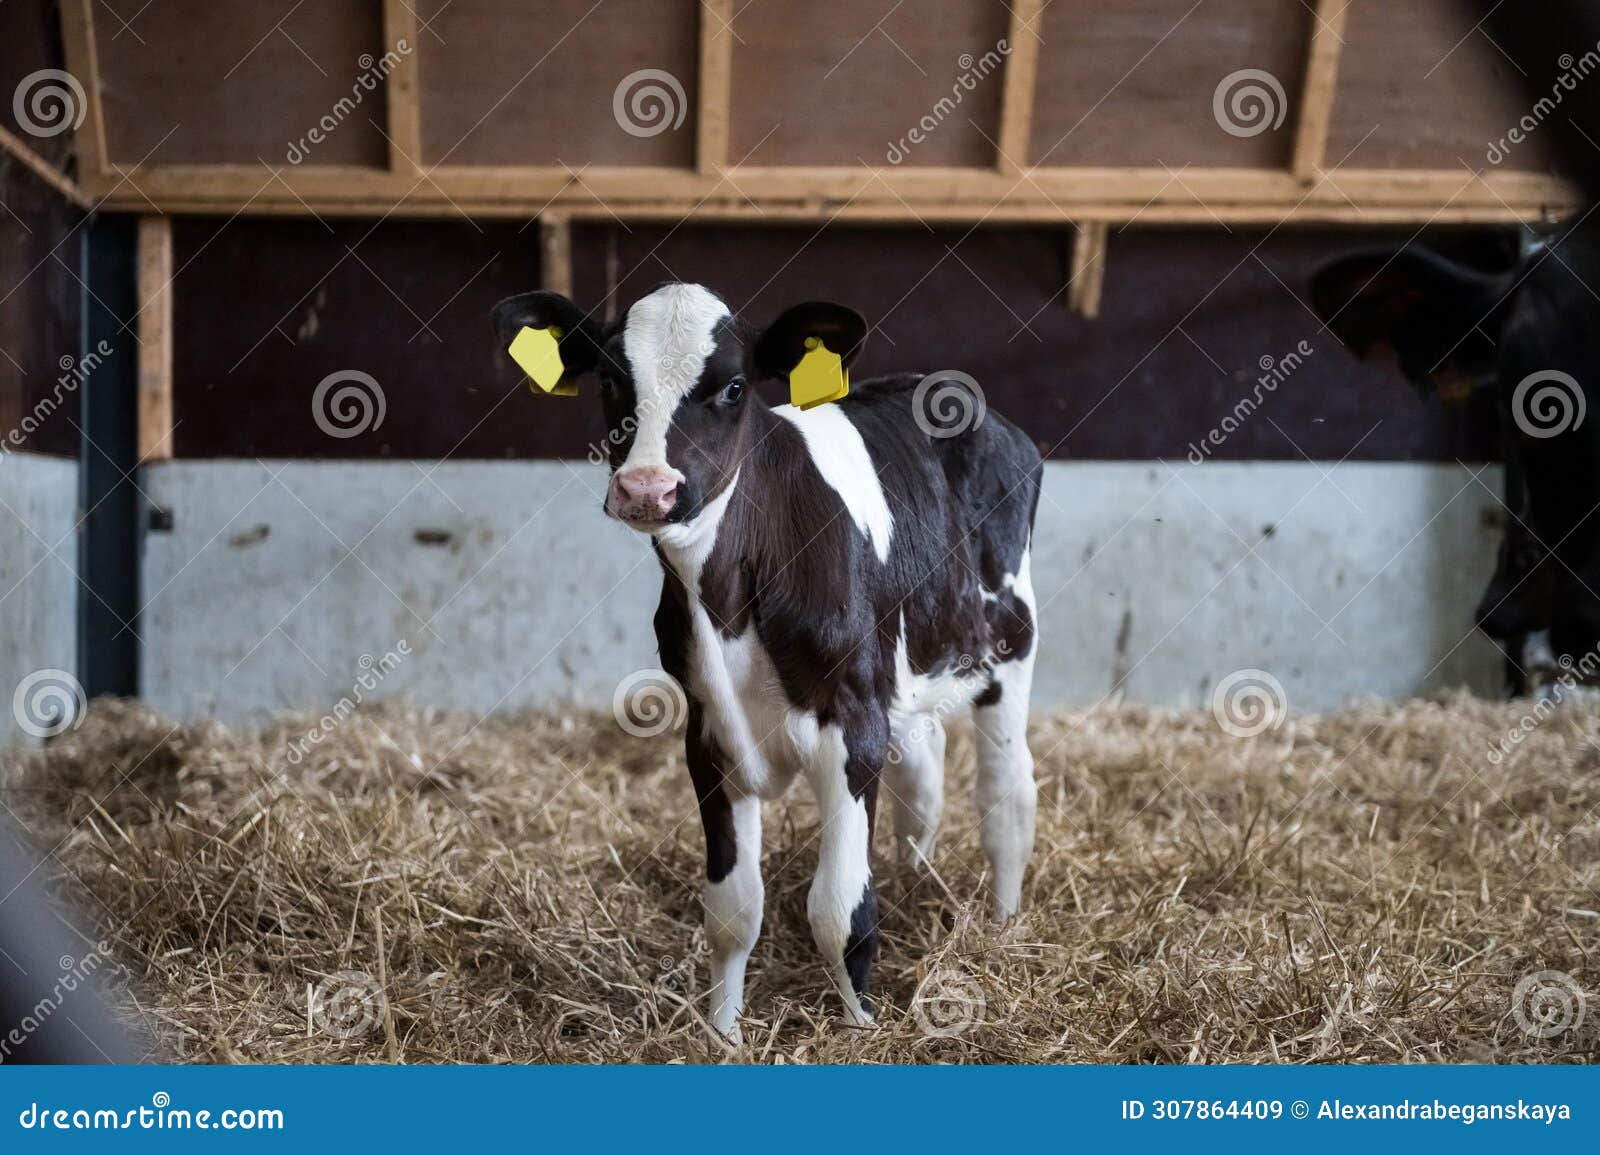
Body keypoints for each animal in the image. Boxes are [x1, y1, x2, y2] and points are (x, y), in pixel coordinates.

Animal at [492, 284, 1043, 1039]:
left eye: (732, 387)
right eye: (608, 379)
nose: (646, 488)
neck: (727, 601)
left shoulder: (852, 724)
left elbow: (839, 911)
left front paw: (860, 1029)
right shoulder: (708, 734)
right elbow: (732, 912)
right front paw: (722, 1031)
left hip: (1011, 641)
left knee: (1006, 796)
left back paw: (1002, 926)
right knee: (923, 787)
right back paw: (915, 880)